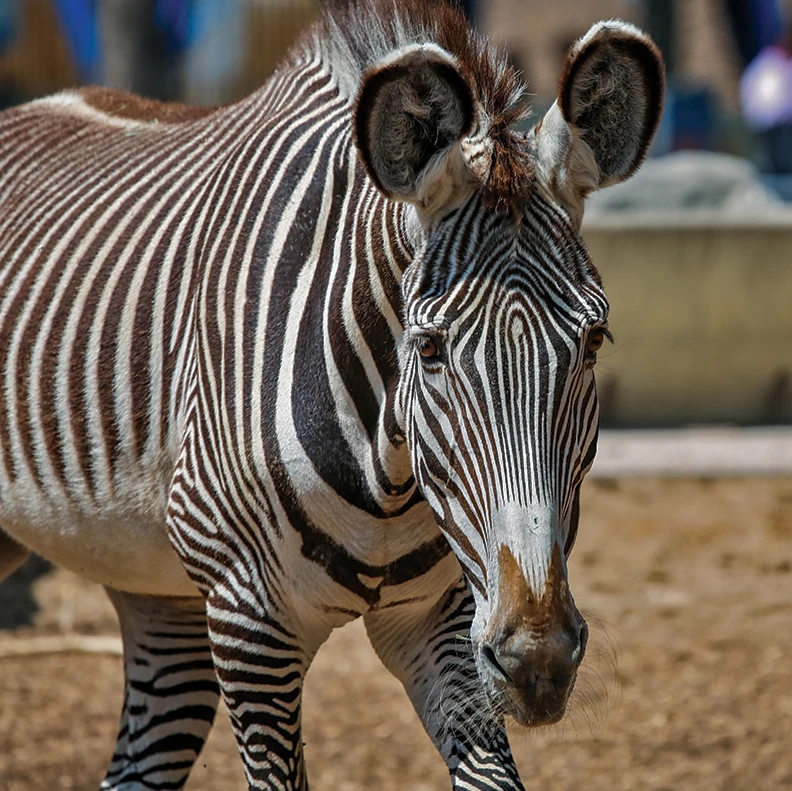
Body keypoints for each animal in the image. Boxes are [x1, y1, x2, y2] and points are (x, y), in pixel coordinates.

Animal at [0, 1, 664, 788]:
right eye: (428, 349)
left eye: (593, 341)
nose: (538, 664)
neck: (390, 475)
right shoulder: (250, 626)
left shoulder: (442, 615)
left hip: (160, 593)